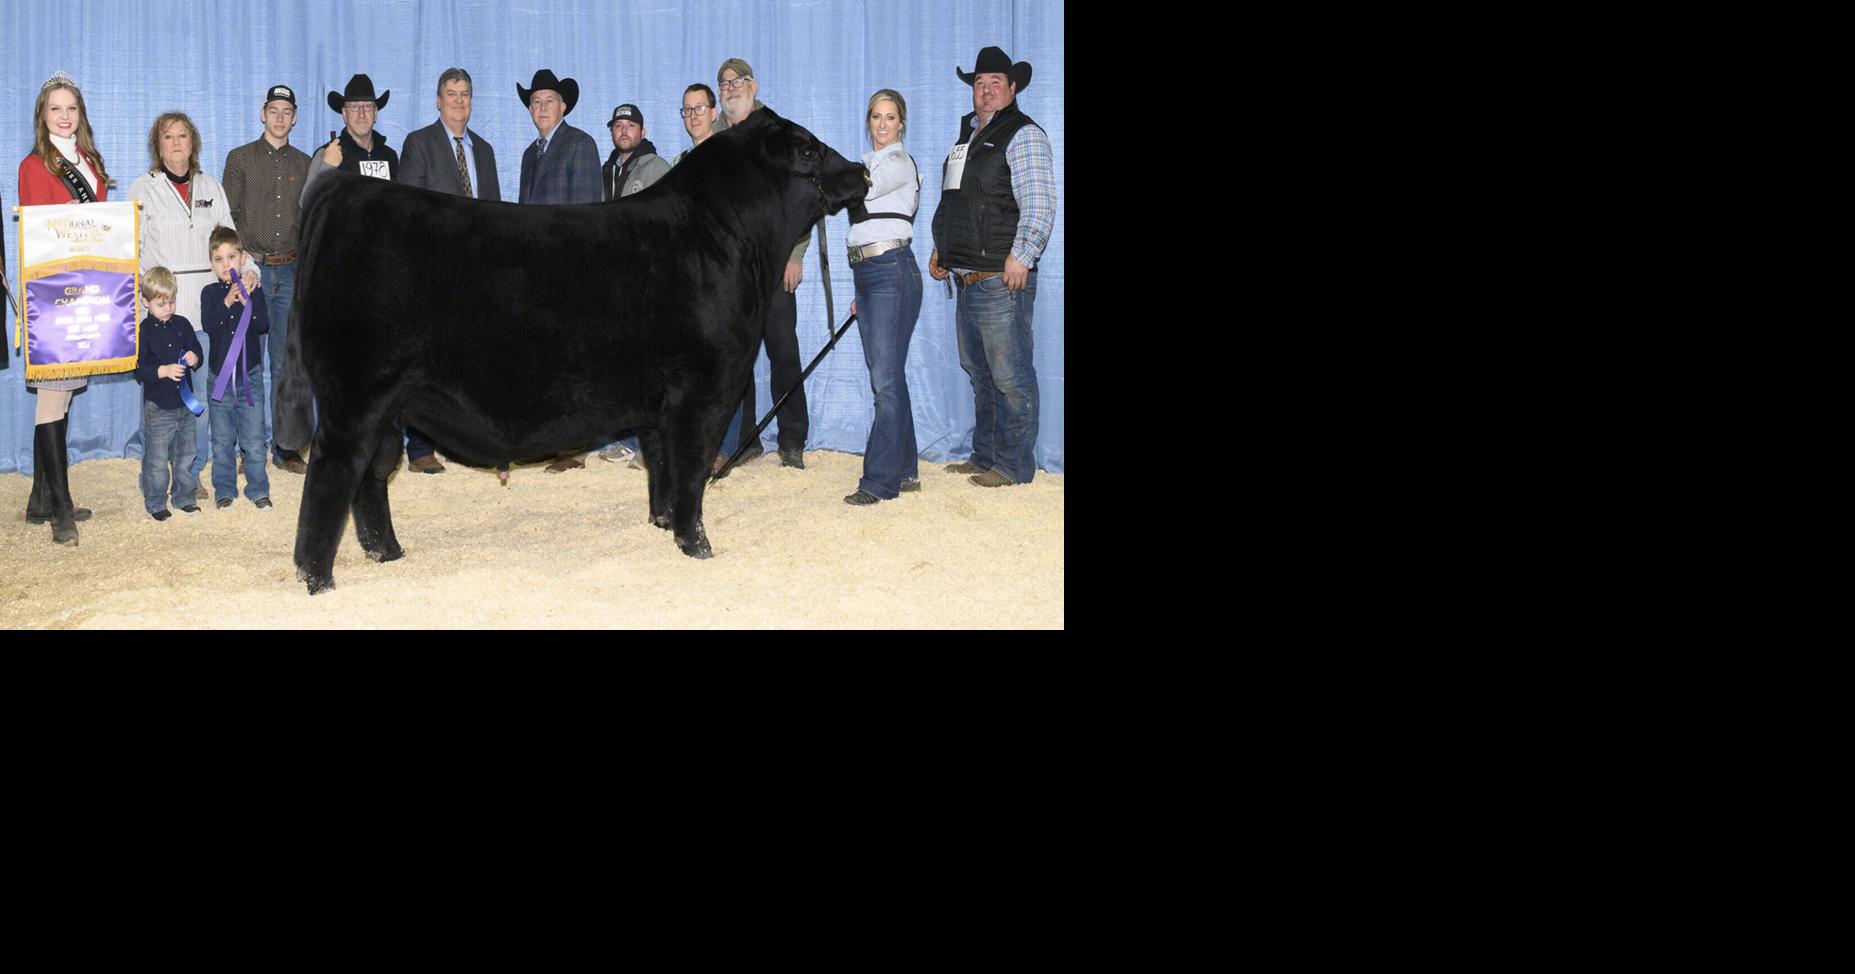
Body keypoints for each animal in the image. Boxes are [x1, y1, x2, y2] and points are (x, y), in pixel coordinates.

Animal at [274, 107, 870, 594]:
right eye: (808, 150)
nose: (861, 171)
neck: (725, 235)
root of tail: (344, 189)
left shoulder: (659, 404)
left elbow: (662, 467)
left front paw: (661, 524)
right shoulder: (706, 389)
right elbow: (692, 470)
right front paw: (696, 544)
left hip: (386, 408)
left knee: (371, 477)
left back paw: (387, 554)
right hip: (354, 398)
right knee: (332, 475)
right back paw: (318, 577)